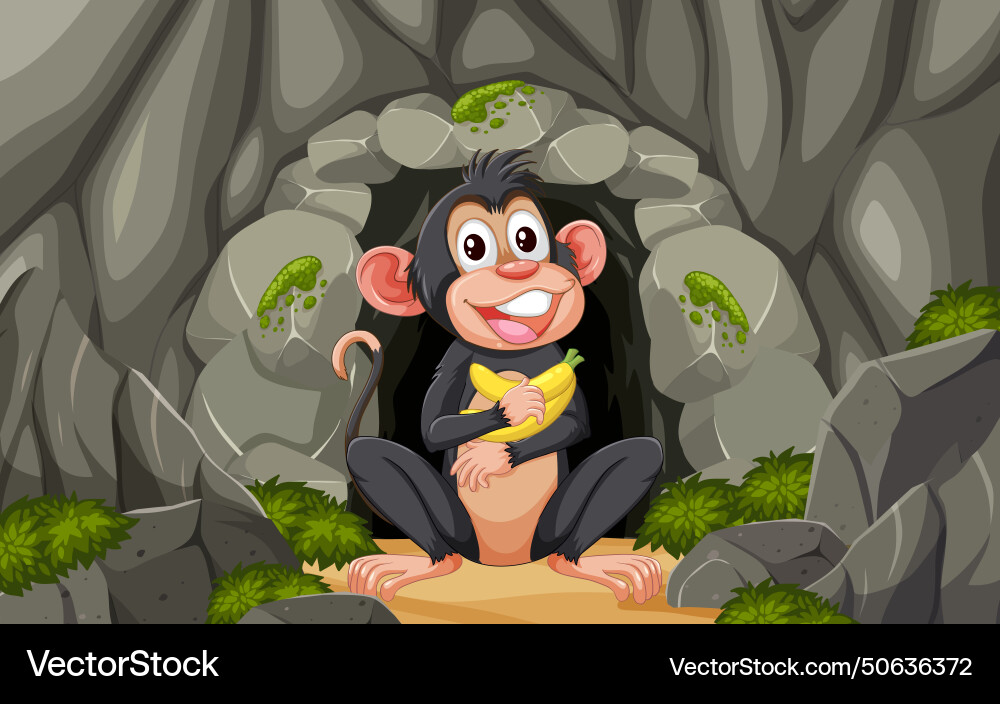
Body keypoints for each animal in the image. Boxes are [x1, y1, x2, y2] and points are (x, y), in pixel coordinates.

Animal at [332, 149, 664, 603]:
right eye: (474, 247)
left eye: (527, 238)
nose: (519, 269)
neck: (510, 354)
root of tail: (506, 563)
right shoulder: (456, 358)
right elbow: (432, 428)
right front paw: (513, 407)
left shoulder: (555, 358)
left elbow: (577, 423)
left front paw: (497, 455)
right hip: (458, 532)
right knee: (368, 455)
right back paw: (432, 563)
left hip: (551, 532)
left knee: (642, 453)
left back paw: (578, 563)